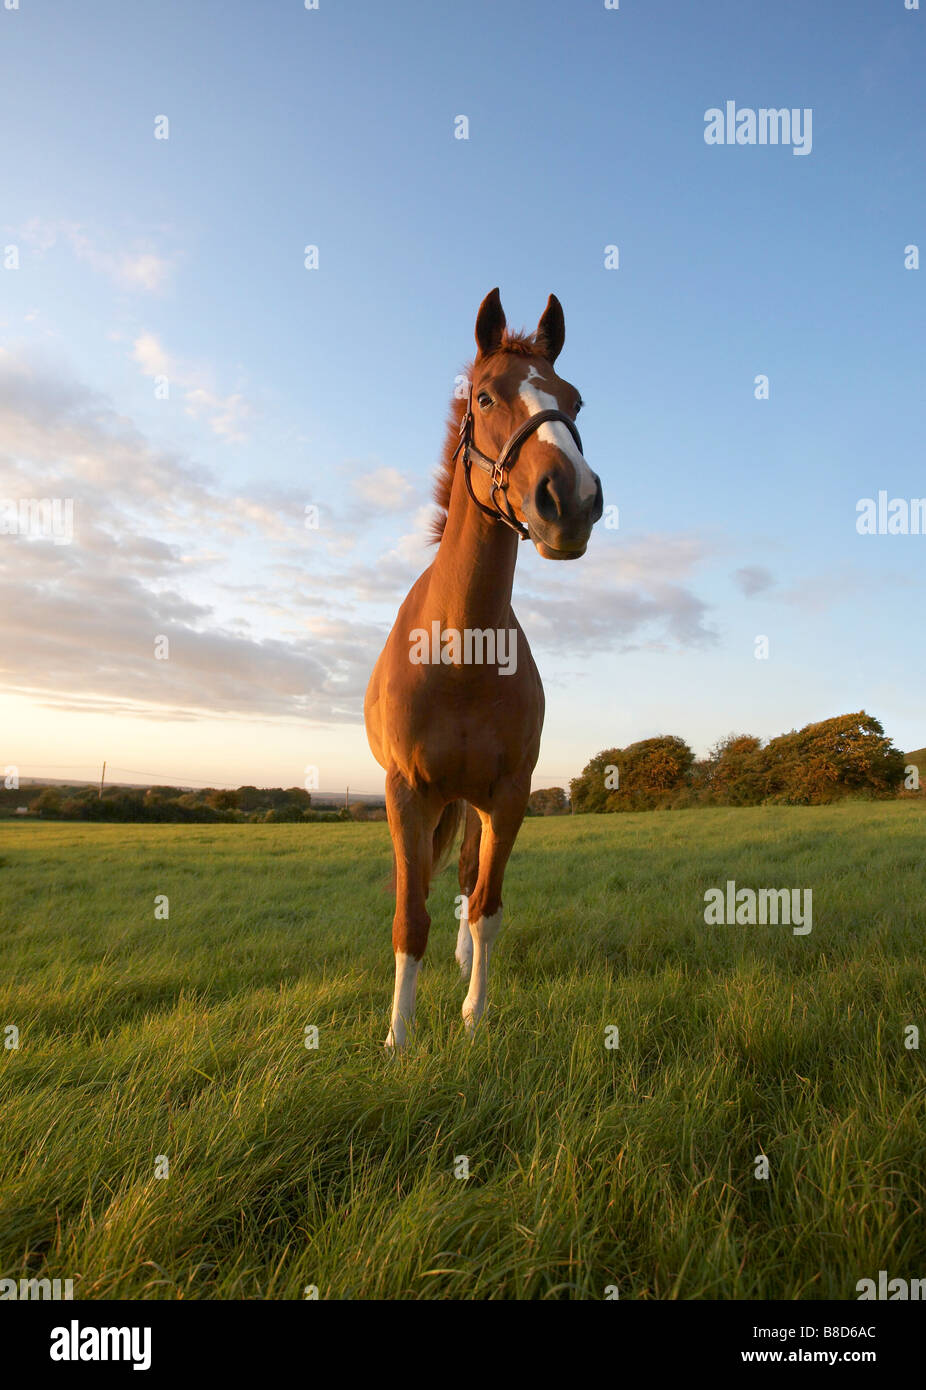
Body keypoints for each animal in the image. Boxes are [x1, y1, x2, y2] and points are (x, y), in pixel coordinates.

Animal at [364, 289, 603, 1049]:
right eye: (486, 396)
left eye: (575, 401)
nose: (571, 499)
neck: (459, 652)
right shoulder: (406, 792)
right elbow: (410, 917)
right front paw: (399, 1037)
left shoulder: (508, 793)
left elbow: (489, 908)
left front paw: (474, 1017)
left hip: (474, 802)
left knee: (471, 884)